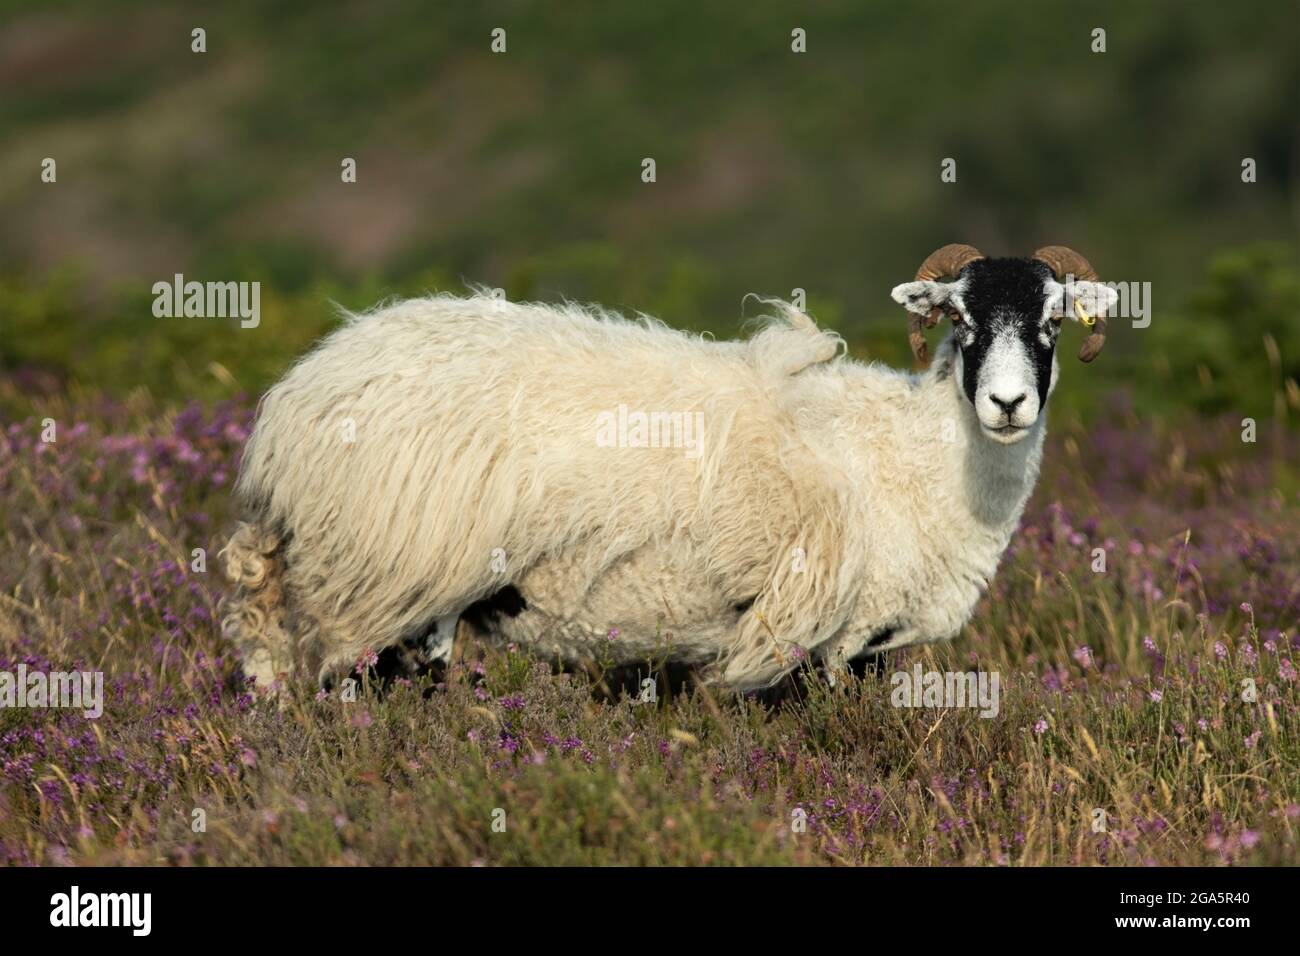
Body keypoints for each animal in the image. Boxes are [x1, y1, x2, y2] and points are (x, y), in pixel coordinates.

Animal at [221, 244, 1118, 693]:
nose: (1008, 403)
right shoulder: (826, 637)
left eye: (1052, 322)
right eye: (961, 319)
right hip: (389, 575)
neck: (911, 459)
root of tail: (302, 397)